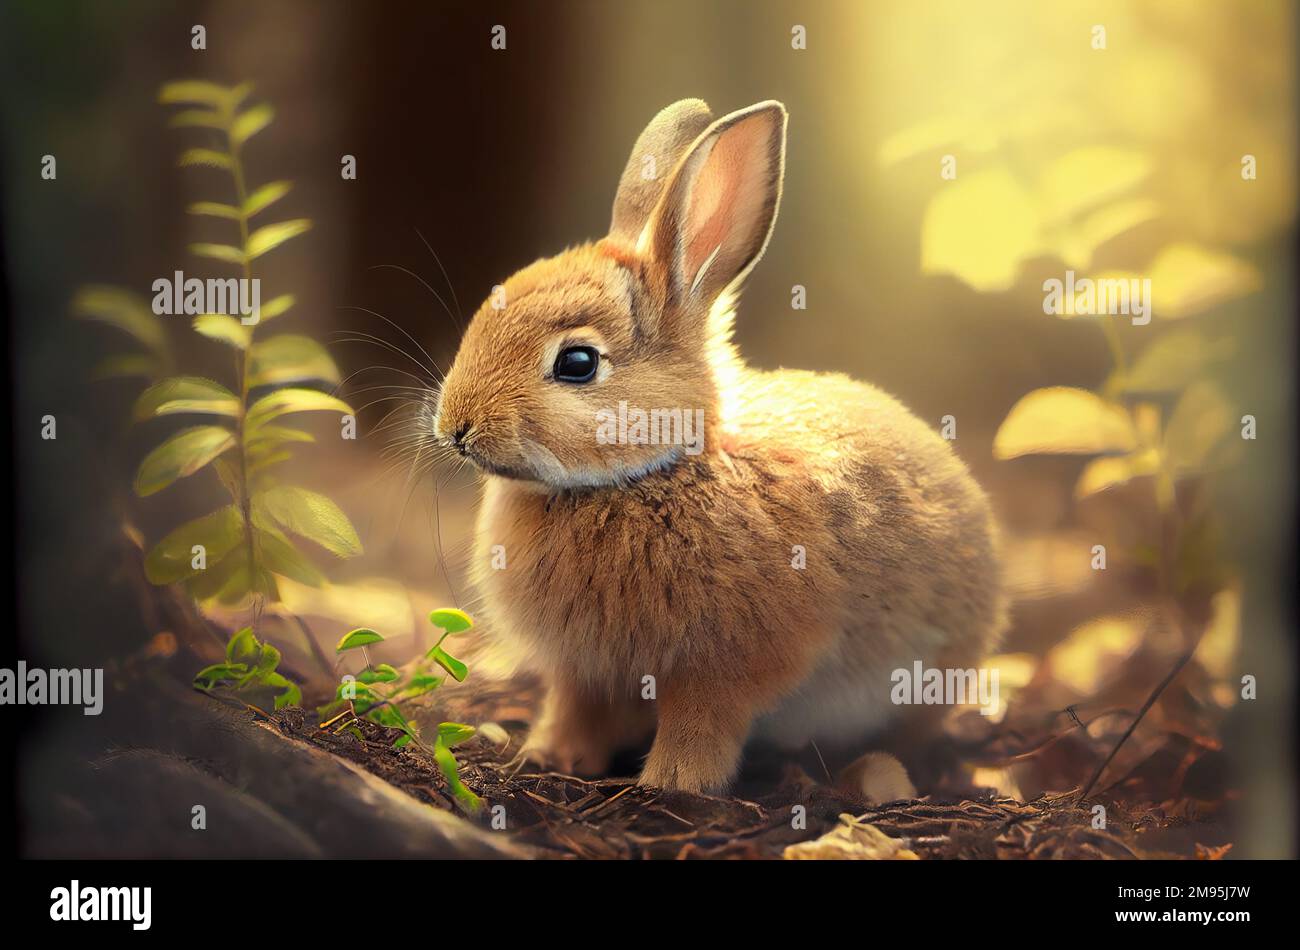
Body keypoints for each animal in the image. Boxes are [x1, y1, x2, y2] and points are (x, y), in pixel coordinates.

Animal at [431, 98, 1007, 794]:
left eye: (577, 363)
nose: (456, 427)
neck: (652, 472)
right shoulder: (583, 671)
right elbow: (575, 710)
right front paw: (546, 757)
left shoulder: (727, 665)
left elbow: (701, 720)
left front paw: (672, 784)